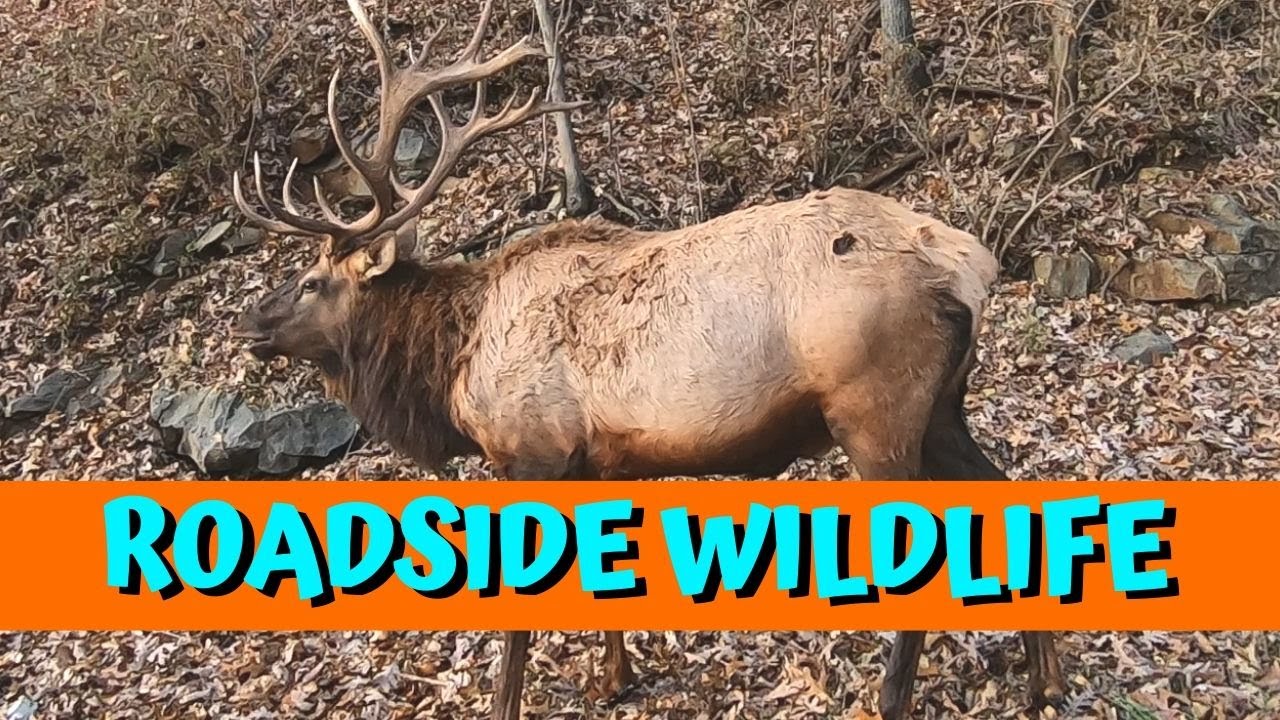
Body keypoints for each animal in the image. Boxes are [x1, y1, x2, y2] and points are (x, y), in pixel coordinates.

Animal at [227, 1, 1067, 718]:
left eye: (312, 281)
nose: (247, 322)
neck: (453, 370)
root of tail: (970, 268)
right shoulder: (597, 462)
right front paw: (614, 679)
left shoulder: (532, 451)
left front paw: (514, 702)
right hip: (941, 406)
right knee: (1005, 494)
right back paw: (1046, 684)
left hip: (874, 408)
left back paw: (892, 700)